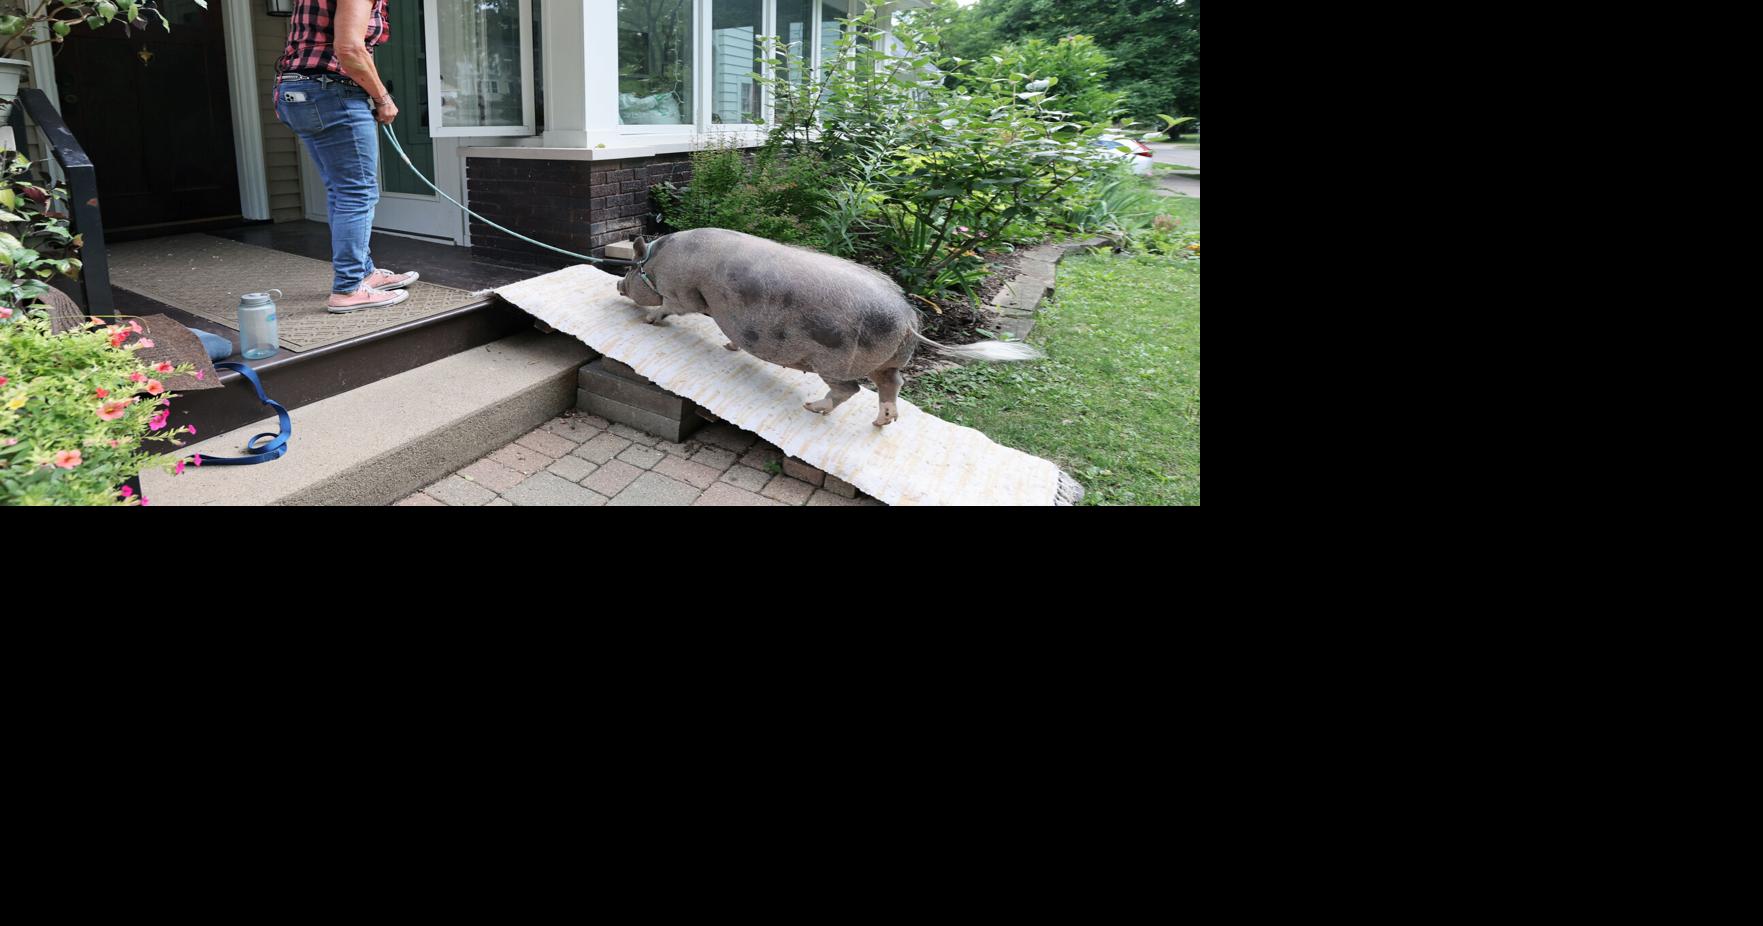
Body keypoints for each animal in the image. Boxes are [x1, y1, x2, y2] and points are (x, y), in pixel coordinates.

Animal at [614, 228, 1040, 428]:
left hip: (834, 361)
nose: (618, 285)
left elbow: (671, 308)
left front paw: (648, 320)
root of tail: (907, 319)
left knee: (850, 390)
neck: (658, 263)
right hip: (889, 362)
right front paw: (729, 348)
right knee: (892, 385)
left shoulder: (684, 294)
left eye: (629, 269)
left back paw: (812, 408)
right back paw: (883, 422)